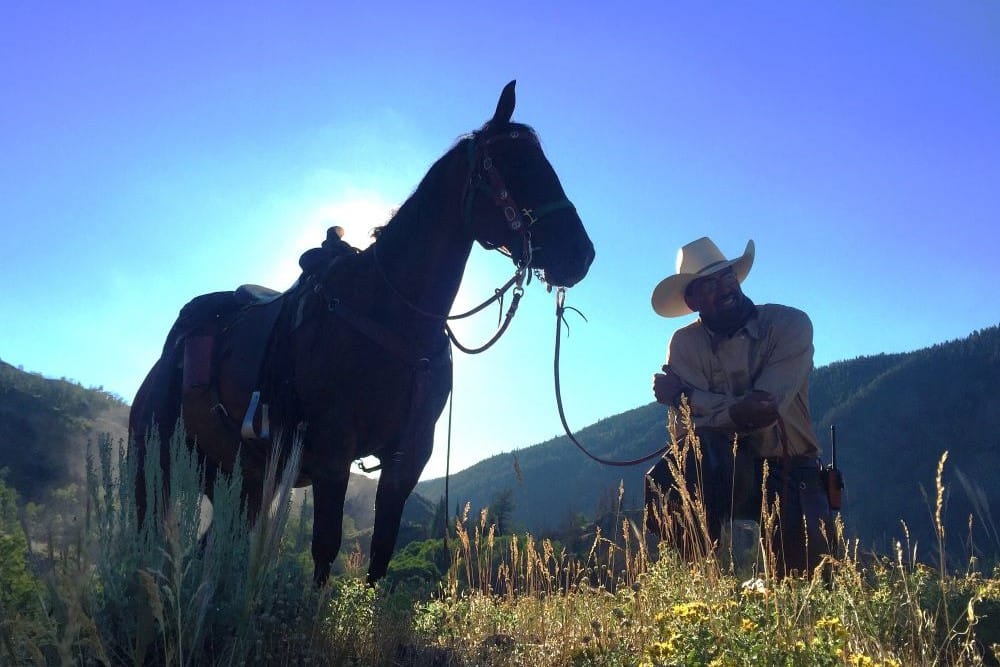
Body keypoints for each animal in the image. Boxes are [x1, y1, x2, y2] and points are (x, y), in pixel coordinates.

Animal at [129, 81, 595, 585]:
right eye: (516, 165)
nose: (580, 254)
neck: (392, 315)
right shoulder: (334, 453)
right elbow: (324, 551)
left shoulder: (409, 457)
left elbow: (381, 553)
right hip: (153, 467)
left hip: (238, 479)